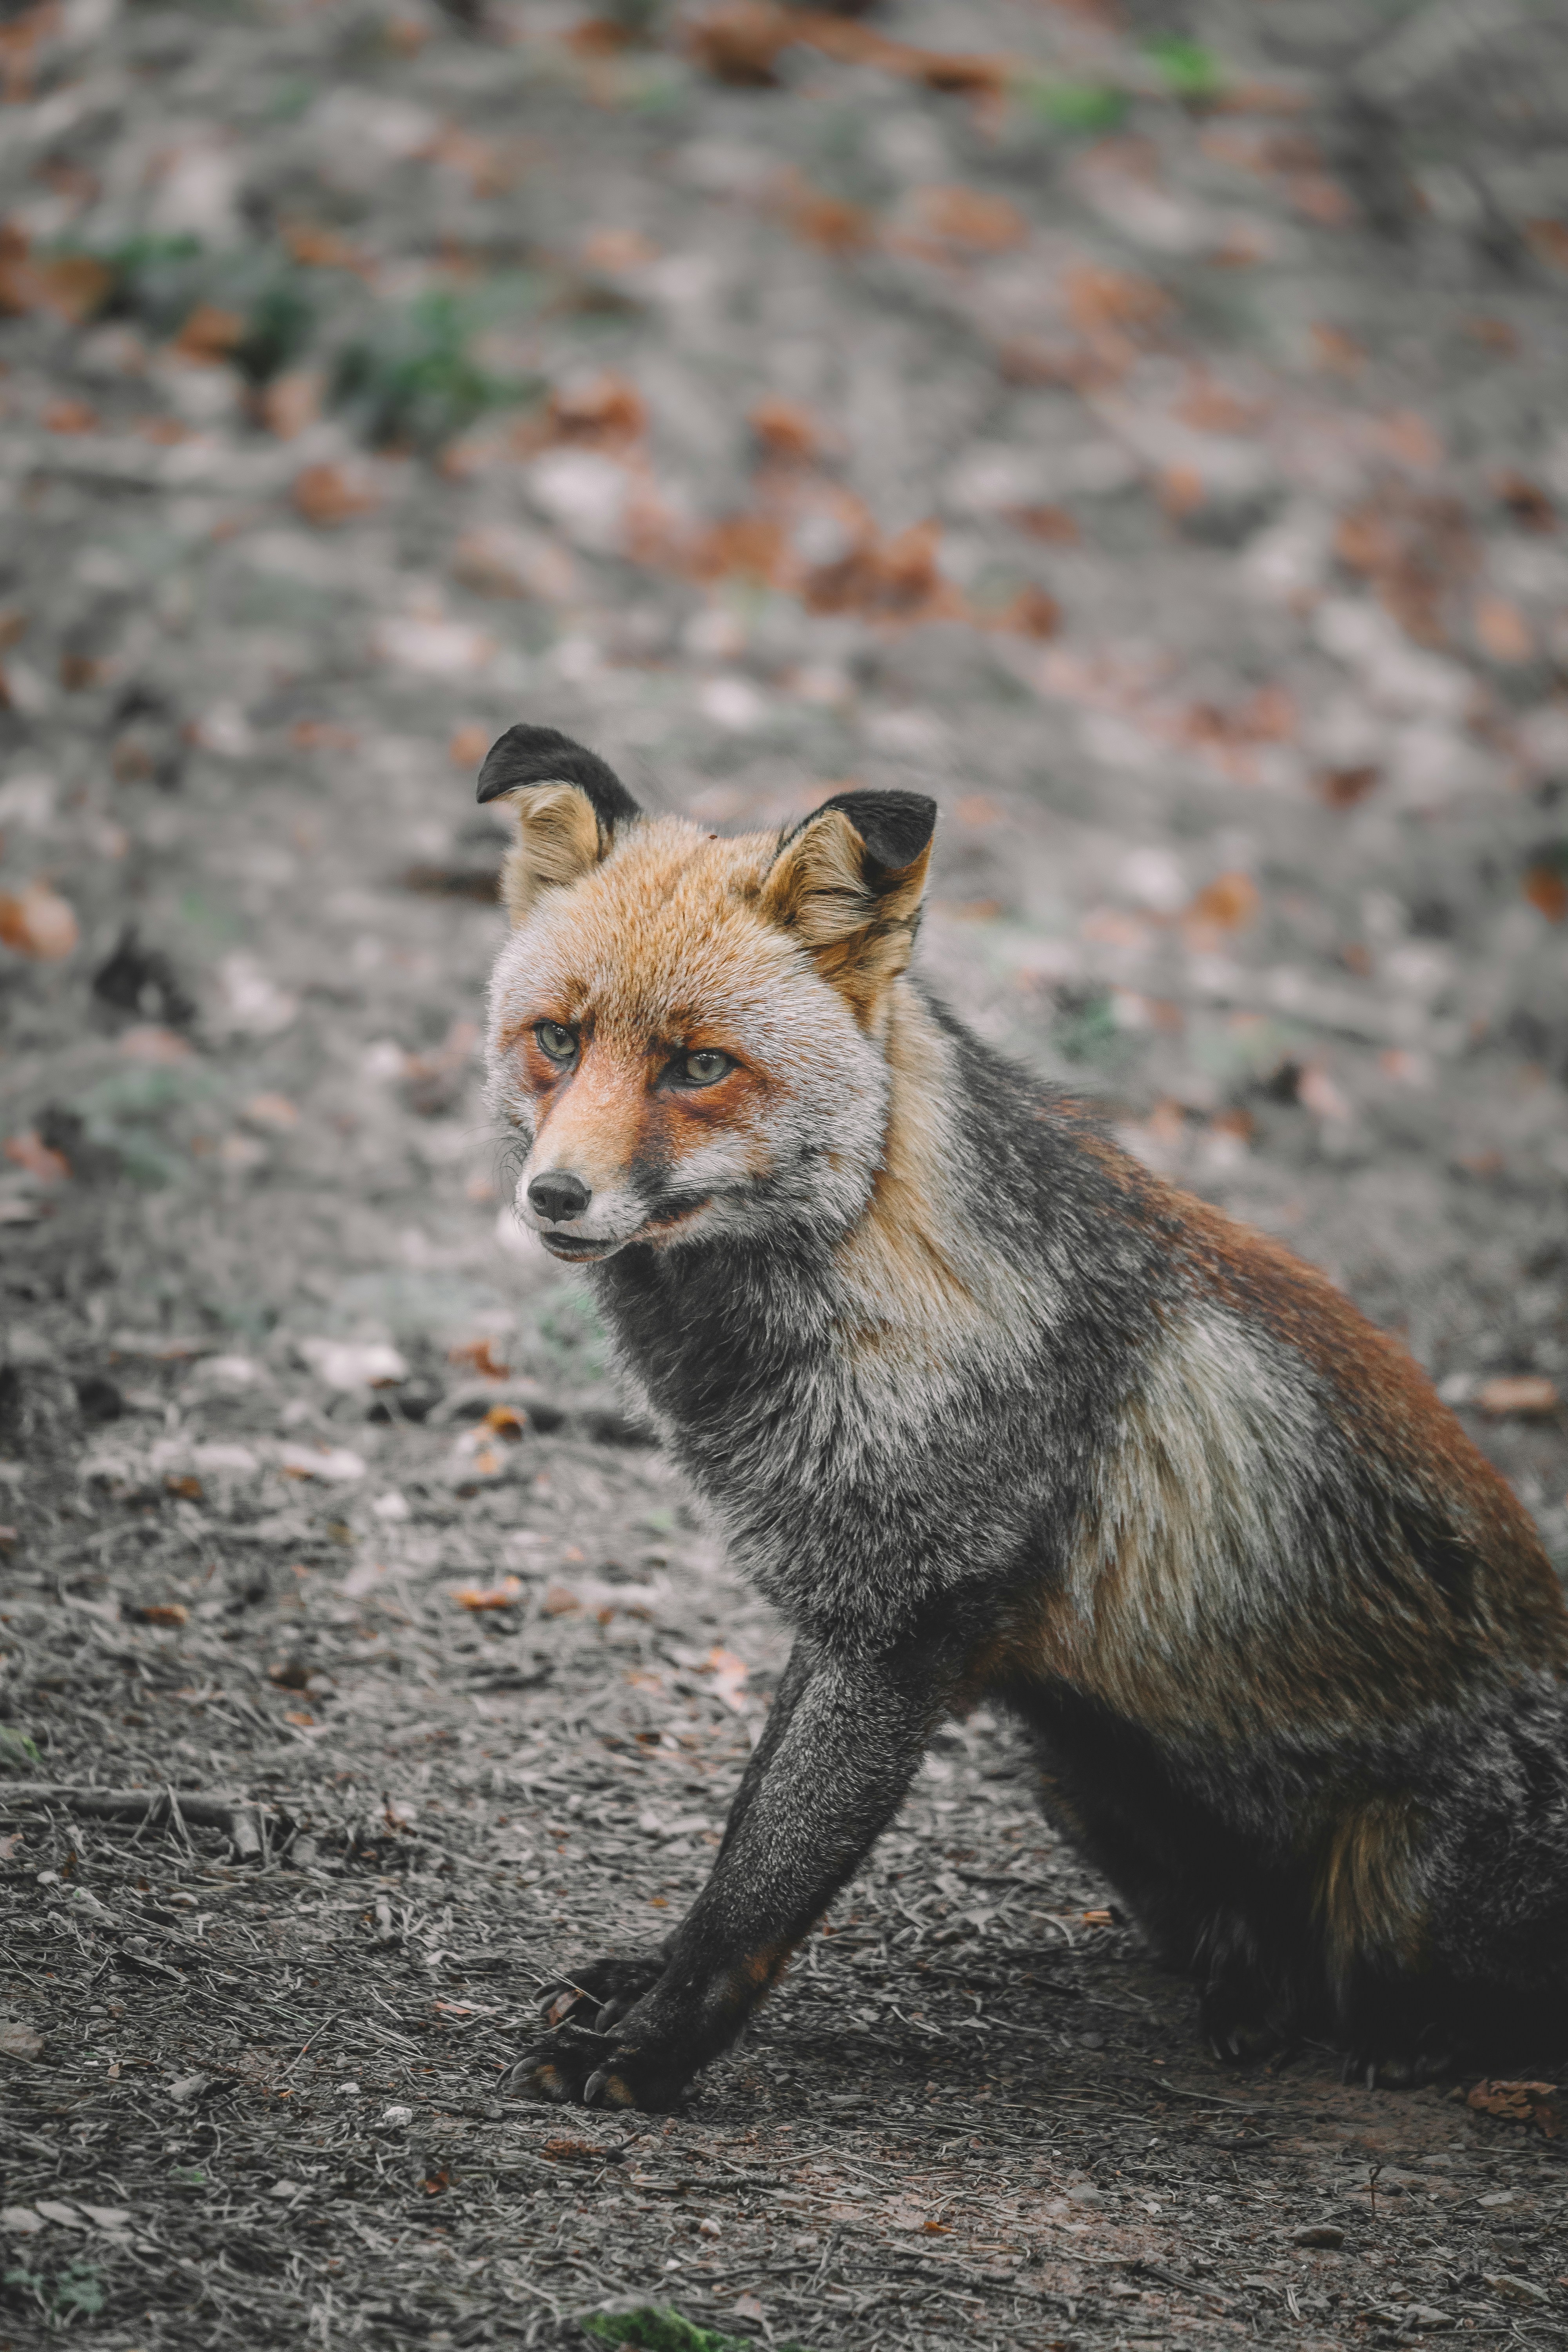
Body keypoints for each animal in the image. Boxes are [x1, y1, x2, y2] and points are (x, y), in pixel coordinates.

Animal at [477, 720, 1568, 2112]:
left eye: (701, 1066)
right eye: (558, 1041)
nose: (553, 1195)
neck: (872, 1275)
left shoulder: (902, 1625)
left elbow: (759, 1888)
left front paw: (654, 2049)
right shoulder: (852, 1605)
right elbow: (746, 1831)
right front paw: (644, 1993)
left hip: (1400, 1884)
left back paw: (1407, 2032)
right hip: (1078, 1755)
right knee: (1261, 1945)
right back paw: (1252, 2001)